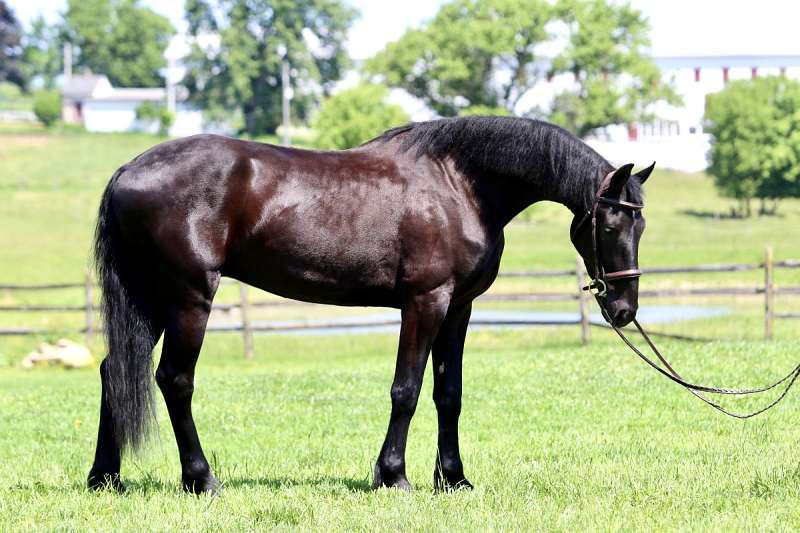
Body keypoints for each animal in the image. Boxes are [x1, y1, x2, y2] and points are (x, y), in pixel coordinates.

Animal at [87, 116, 654, 494]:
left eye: (641, 224)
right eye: (609, 225)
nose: (624, 308)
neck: (459, 185)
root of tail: (127, 171)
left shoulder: (459, 308)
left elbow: (449, 394)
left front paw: (453, 480)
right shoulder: (425, 302)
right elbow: (407, 390)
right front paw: (394, 476)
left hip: (149, 300)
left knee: (114, 371)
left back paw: (106, 477)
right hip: (188, 297)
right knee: (174, 380)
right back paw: (201, 480)